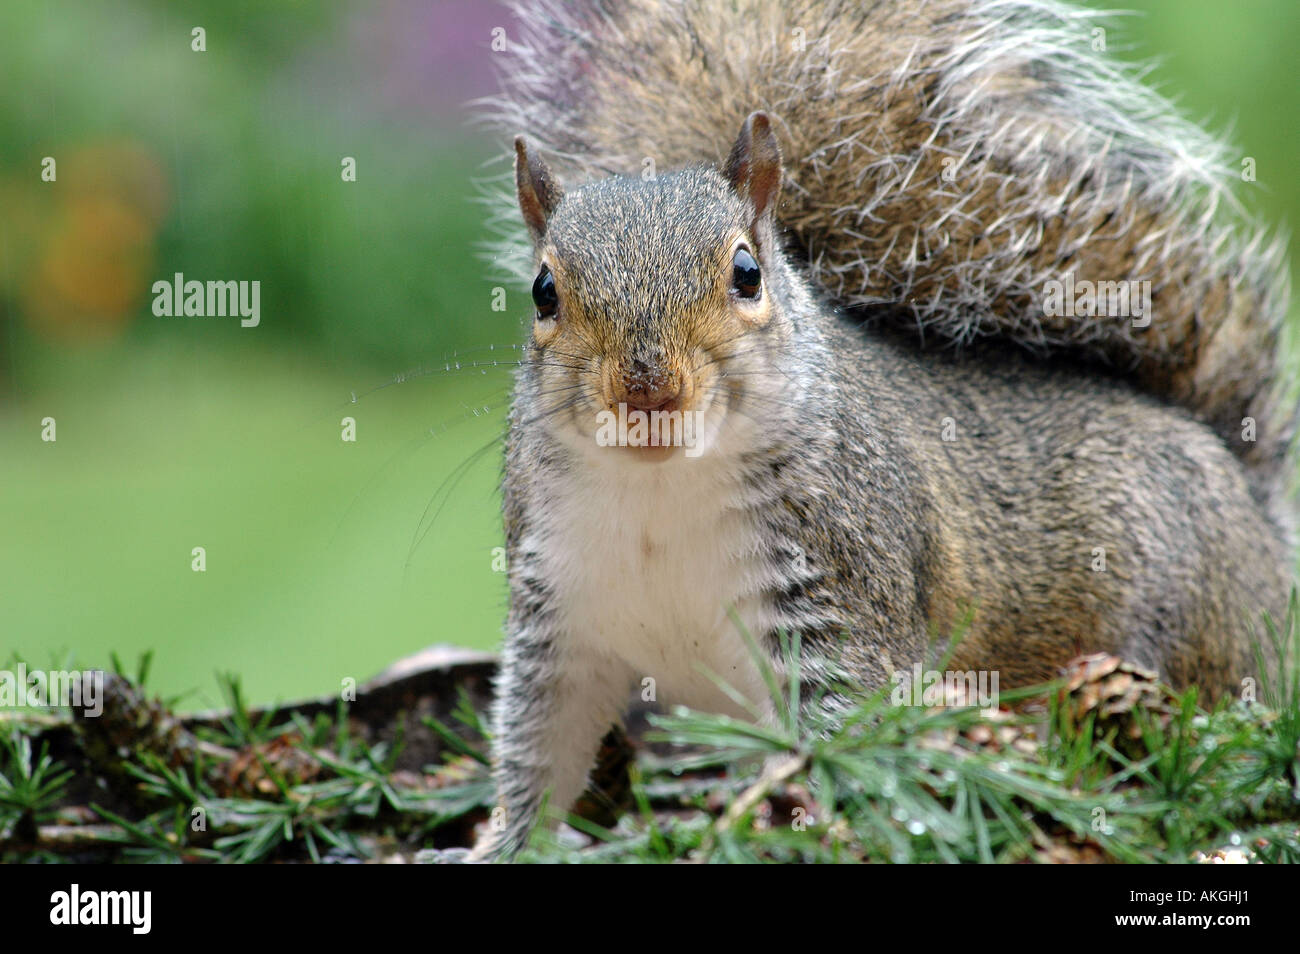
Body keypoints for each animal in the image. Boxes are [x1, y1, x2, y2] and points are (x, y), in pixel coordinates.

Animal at [469, 0, 1296, 860]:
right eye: (542, 291)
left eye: (747, 274)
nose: (648, 390)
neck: (657, 496)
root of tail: (1252, 501)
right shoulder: (559, 618)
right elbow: (540, 750)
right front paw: (503, 843)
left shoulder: (839, 591)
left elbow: (843, 730)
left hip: (1180, 620)